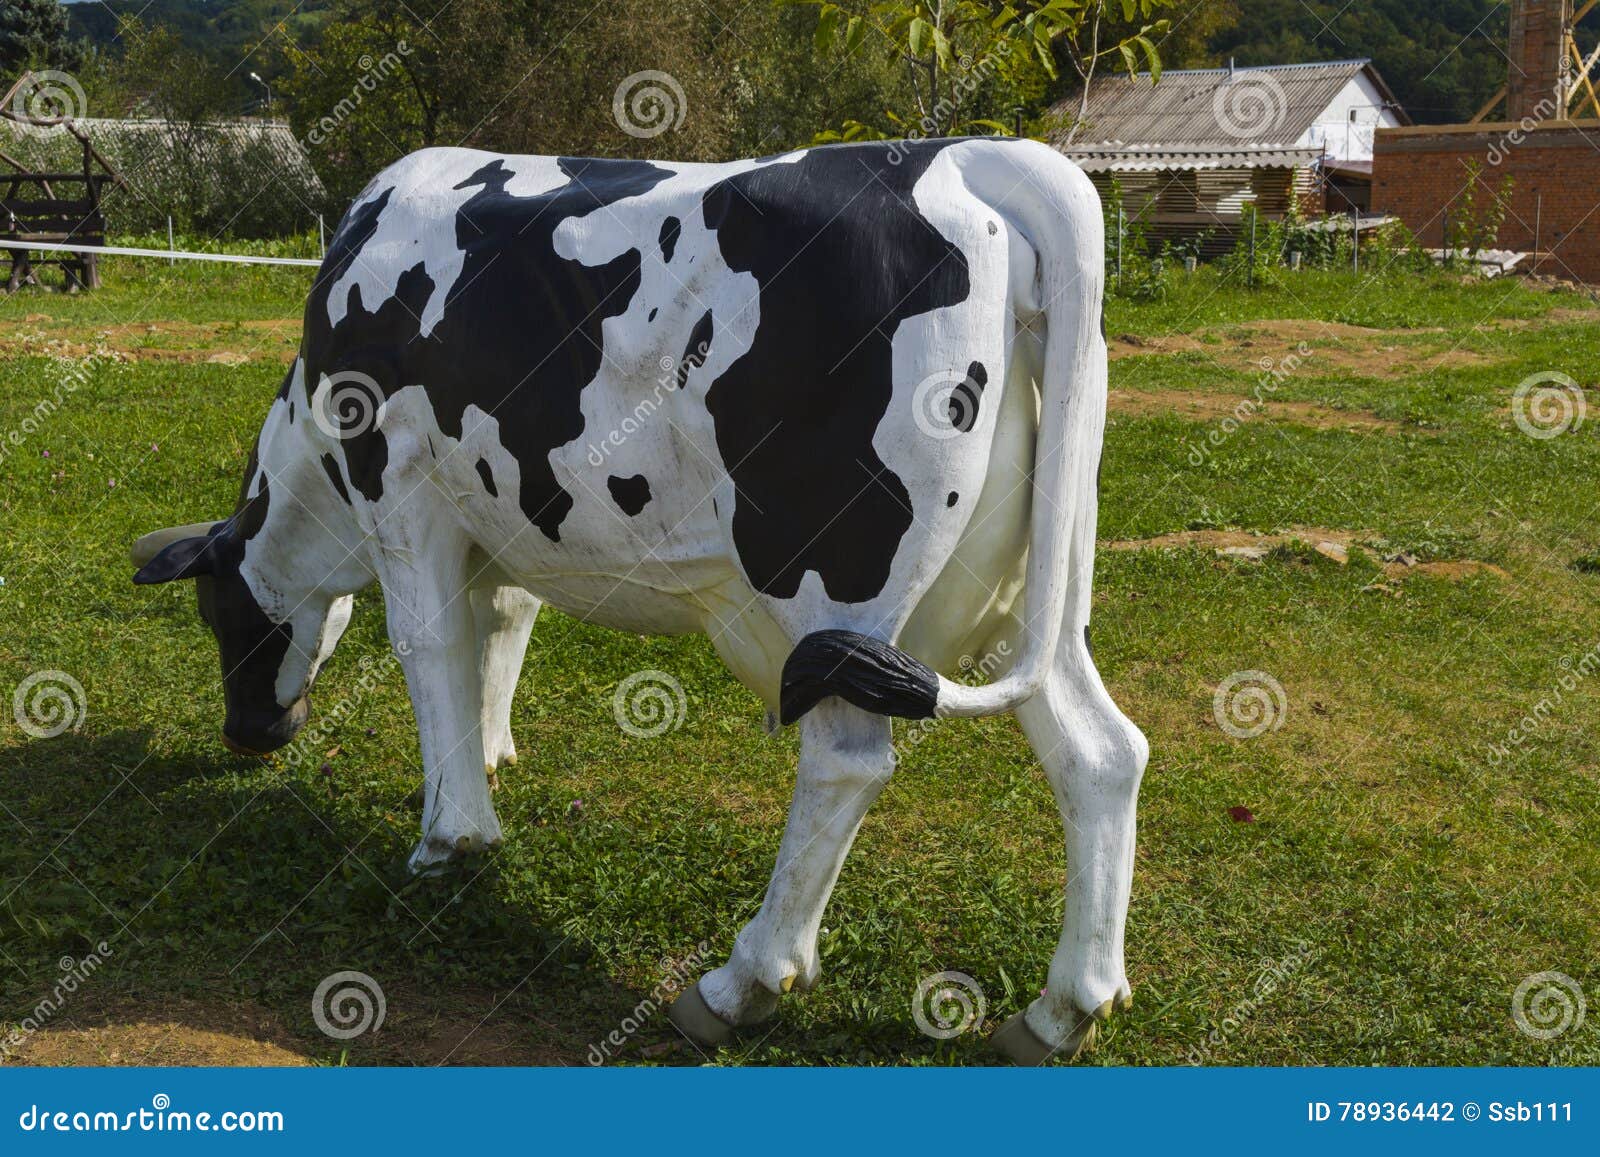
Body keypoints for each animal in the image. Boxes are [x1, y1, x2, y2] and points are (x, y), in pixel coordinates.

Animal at [129, 136, 1147, 1064]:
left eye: (217, 614)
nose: (246, 732)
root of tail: (981, 157)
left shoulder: (401, 489)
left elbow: (431, 646)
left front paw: (450, 837)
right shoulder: (501, 508)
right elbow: (503, 625)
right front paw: (485, 759)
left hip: (828, 588)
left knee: (846, 763)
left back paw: (740, 984)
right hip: (1030, 593)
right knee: (1100, 751)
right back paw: (1063, 1009)